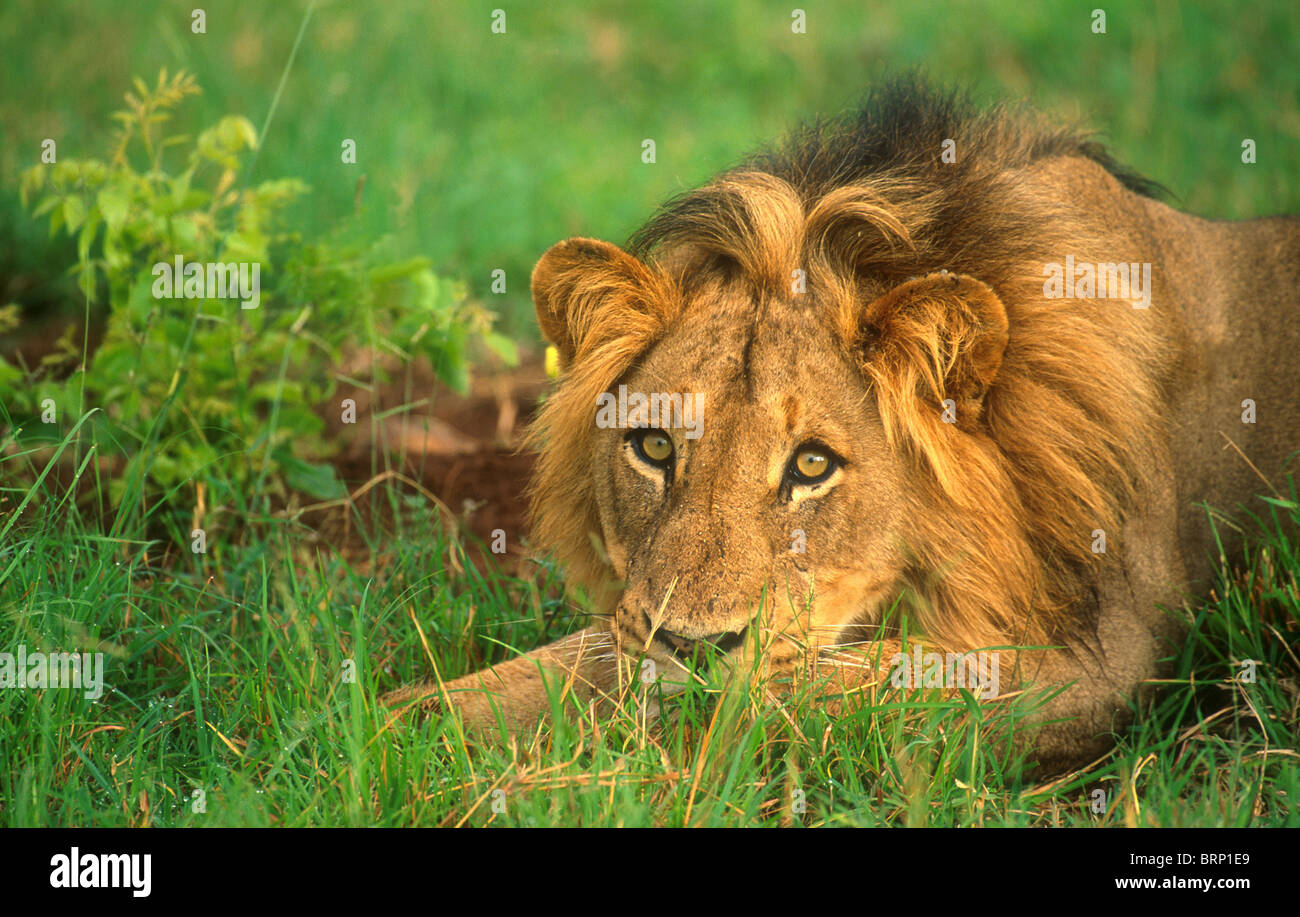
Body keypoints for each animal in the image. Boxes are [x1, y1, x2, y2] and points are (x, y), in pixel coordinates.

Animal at [385, 80, 1300, 771]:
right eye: (653, 446)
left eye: (813, 466)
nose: (692, 645)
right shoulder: (632, 623)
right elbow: (577, 659)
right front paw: (407, 719)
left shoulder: (1101, 658)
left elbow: (810, 692)